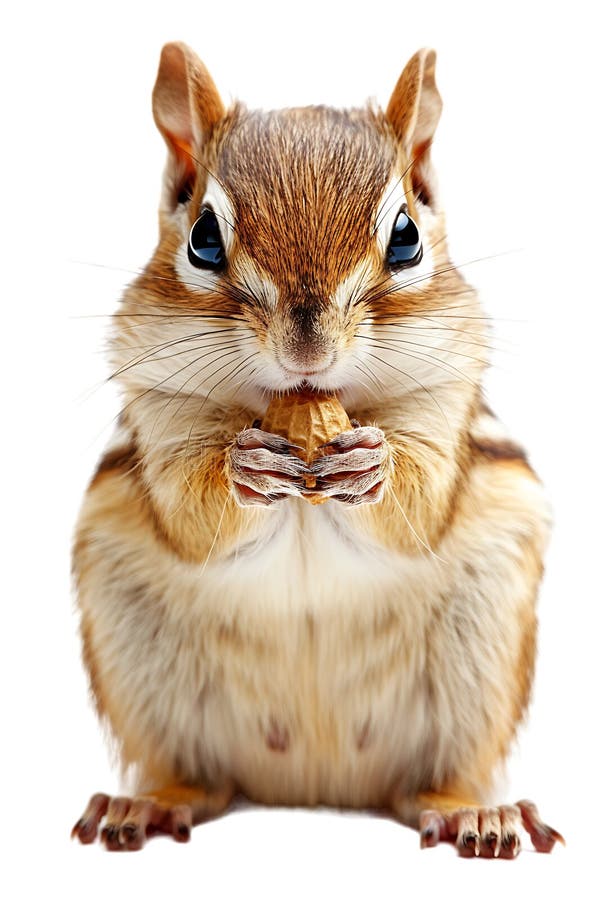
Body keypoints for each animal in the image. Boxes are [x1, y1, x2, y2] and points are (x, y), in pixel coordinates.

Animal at [71, 42, 564, 857]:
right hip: (138, 655)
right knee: (198, 777)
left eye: (407, 237)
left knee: (431, 782)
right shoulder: (160, 414)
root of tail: (313, 783)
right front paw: (243, 467)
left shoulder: (446, 402)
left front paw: (373, 462)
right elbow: (190, 511)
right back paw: (148, 804)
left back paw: (473, 813)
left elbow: (421, 498)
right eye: (203, 238)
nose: (307, 348)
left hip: (482, 654)